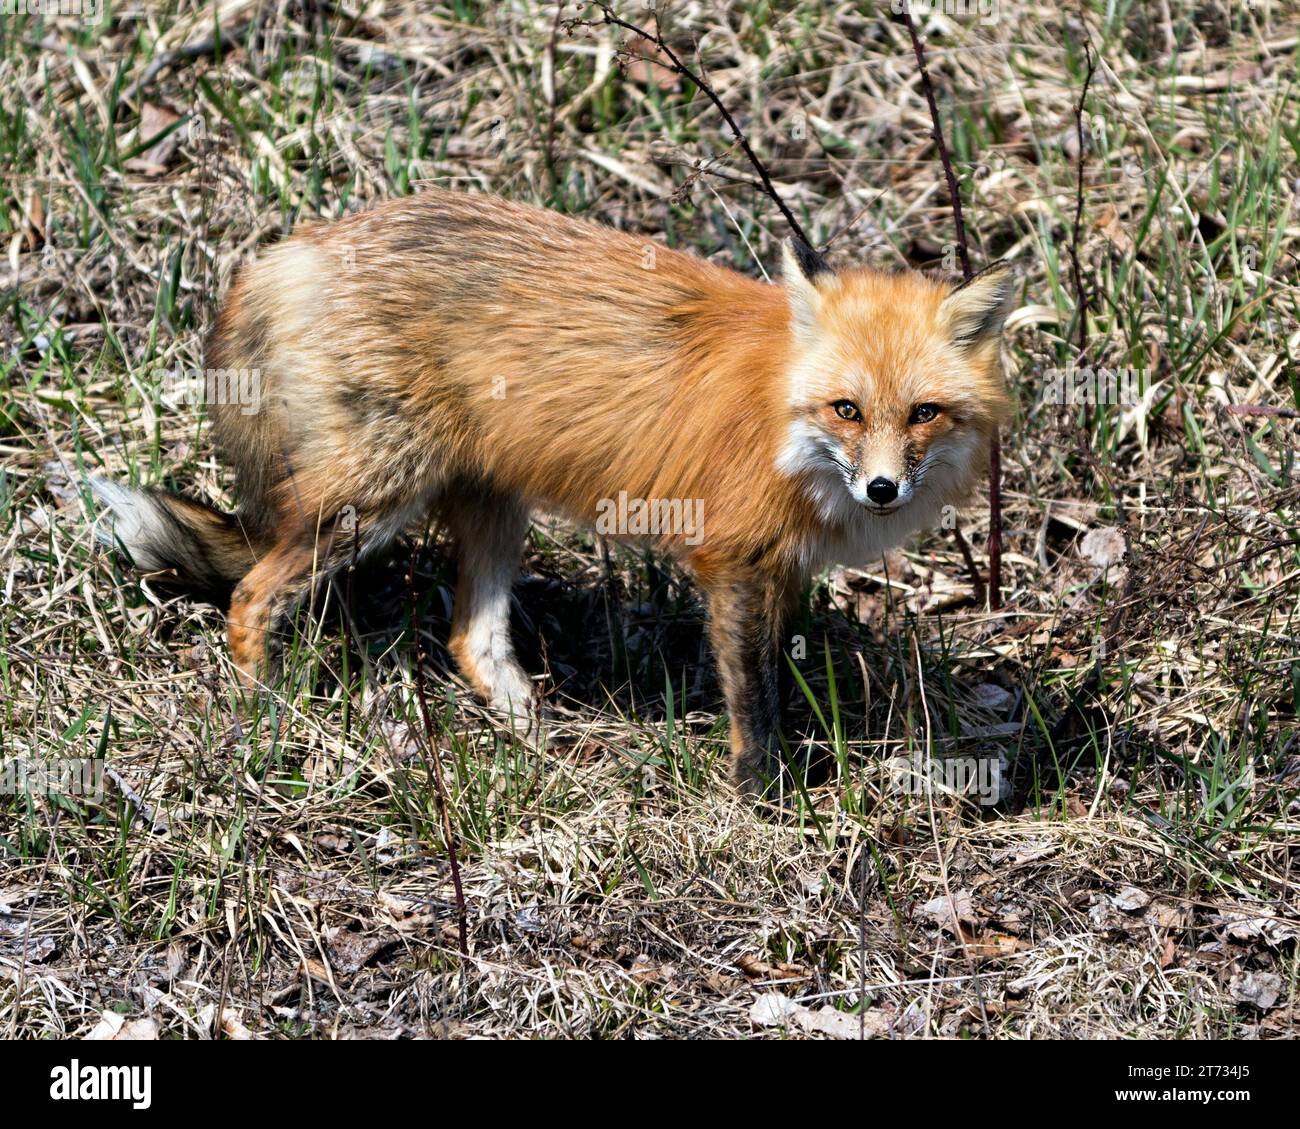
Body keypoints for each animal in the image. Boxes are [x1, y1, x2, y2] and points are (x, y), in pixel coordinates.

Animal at [91, 187, 1014, 797]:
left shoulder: (777, 571)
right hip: (373, 499)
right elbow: (753, 699)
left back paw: (536, 737)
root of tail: (294, 248)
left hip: (494, 506)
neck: (784, 423)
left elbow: (773, 680)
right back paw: (271, 716)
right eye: (847, 409)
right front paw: (762, 800)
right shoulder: (734, 562)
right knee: (251, 594)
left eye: (923, 413)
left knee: (469, 639)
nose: (884, 488)